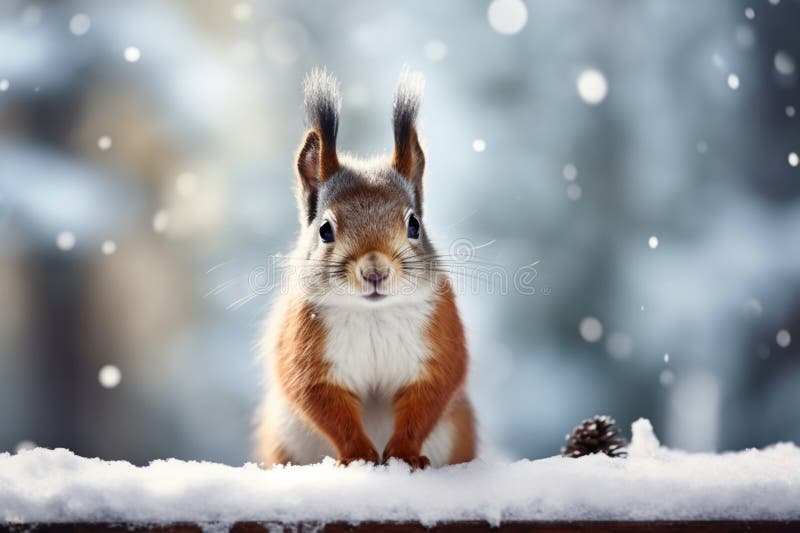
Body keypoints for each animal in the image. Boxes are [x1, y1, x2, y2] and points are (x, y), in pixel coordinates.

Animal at [254, 69, 476, 469]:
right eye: (325, 229)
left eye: (414, 224)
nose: (375, 272)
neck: (372, 314)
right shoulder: (305, 350)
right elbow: (323, 403)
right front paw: (358, 456)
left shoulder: (440, 342)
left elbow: (428, 397)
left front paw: (404, 455)